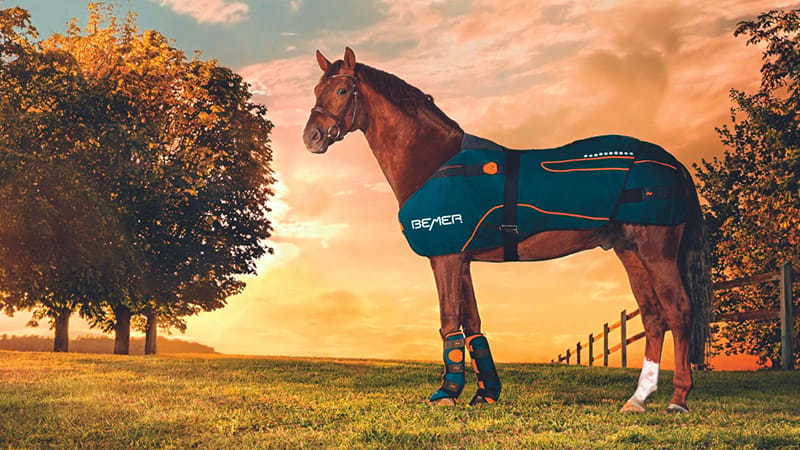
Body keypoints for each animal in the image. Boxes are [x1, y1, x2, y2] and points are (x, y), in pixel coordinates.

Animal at [302, 47, 712, 413]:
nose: (312, 138)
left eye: (343, 90)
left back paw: (677, 399)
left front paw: (447, 392)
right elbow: (472, 325)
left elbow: (449, 322)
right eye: (317, 90)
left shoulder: (445, 257)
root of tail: (671, 161)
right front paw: (486, 393)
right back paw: (638, 400)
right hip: (631, 252)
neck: (435, 162)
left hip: (657, 252)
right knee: (653, 317)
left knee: (678, 310)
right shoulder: (462, 260)